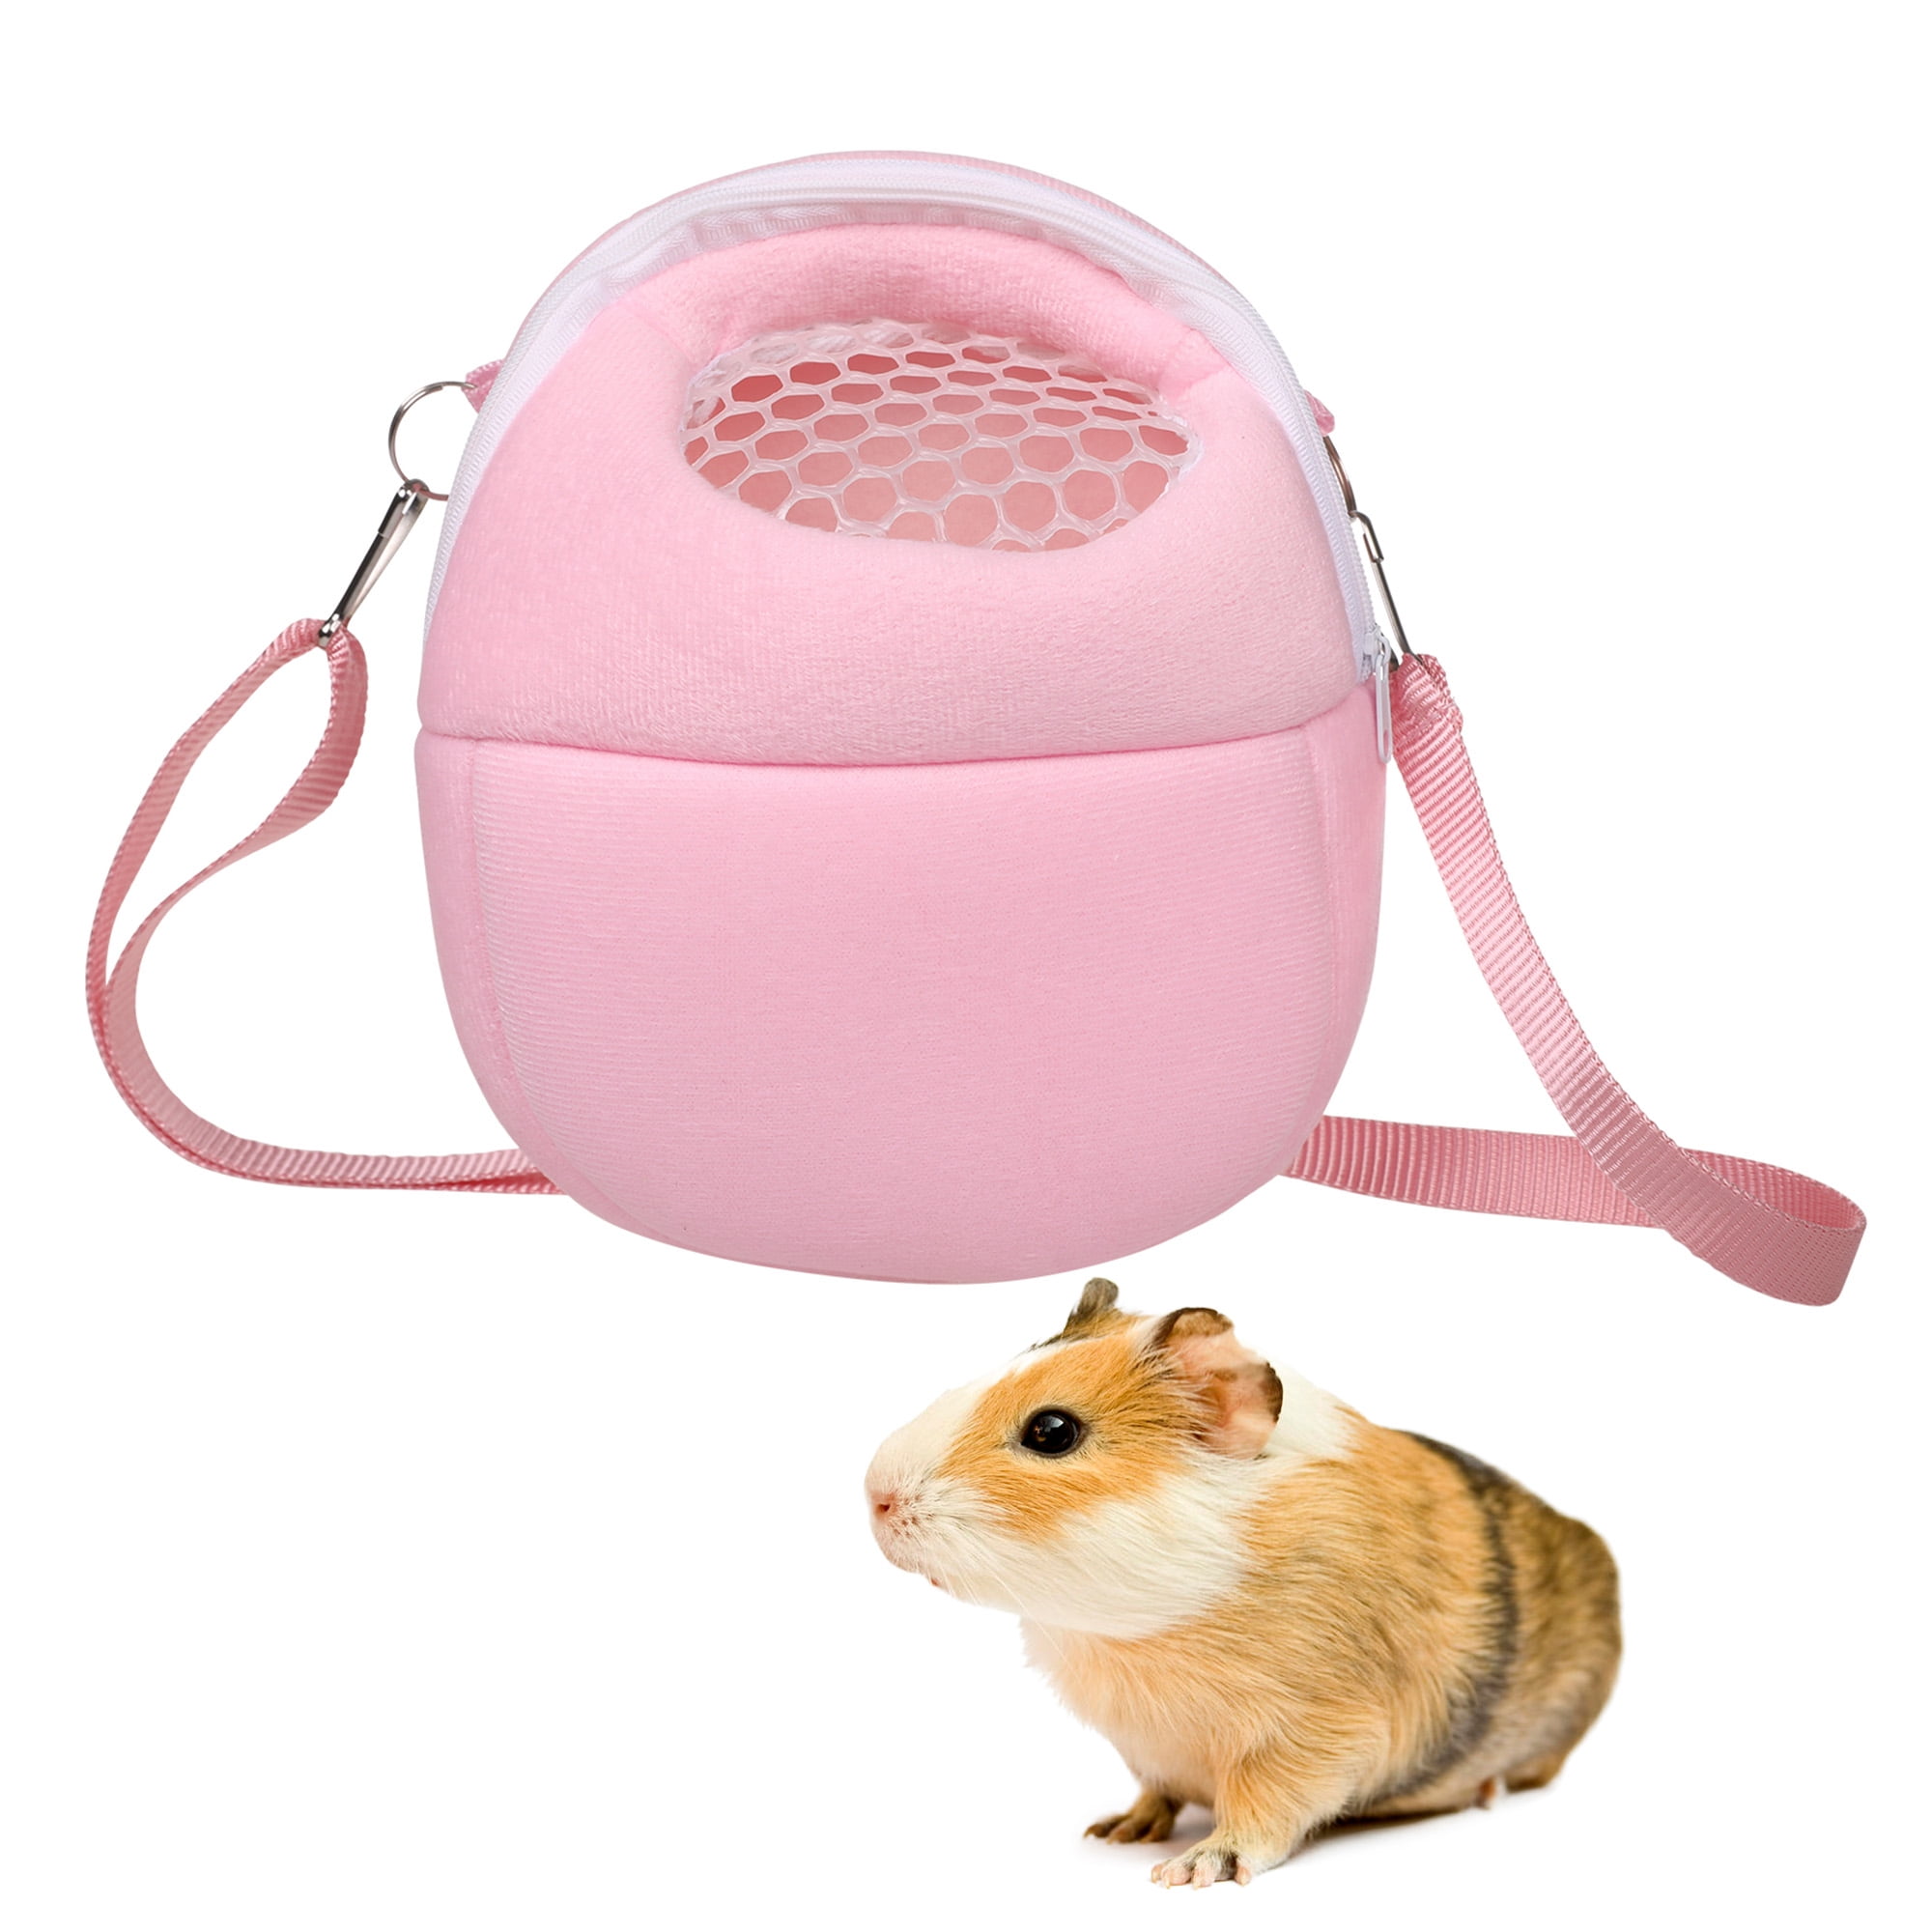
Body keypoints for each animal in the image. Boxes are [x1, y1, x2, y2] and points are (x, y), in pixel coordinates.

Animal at [864, 1278, 1620, 1887]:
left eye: (1052, 1430)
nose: (876, 1496)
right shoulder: (1145, 1750)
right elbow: (1157, 1795)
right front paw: (1114, 1834)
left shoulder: (1305, 1735)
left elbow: (1262, 1813)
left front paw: (1193, 1872)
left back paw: (1489, 1793)